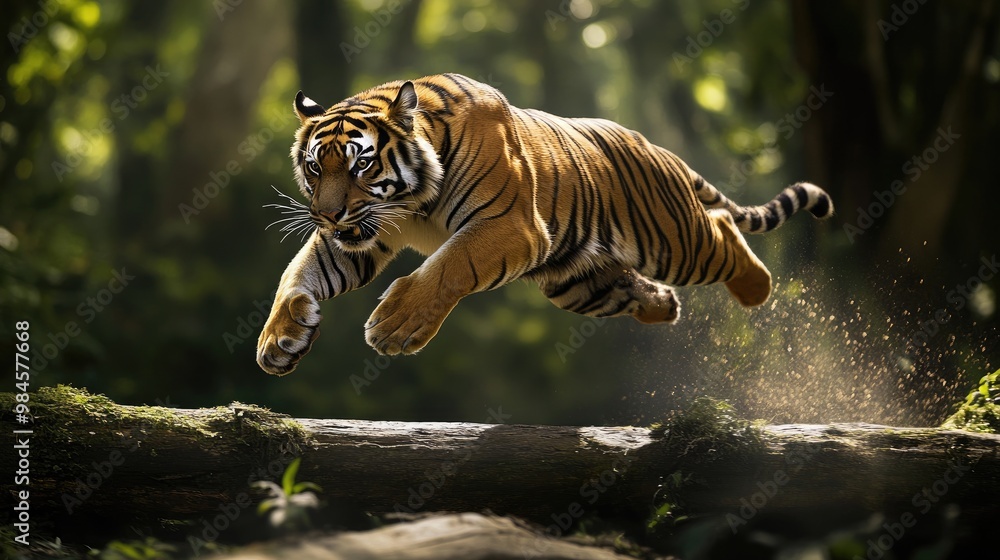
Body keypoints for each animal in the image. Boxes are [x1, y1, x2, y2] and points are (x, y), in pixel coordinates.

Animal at [256, 73, 833, 375]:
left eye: (361, 164)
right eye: (316, 166)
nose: (328, 213)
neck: (408, 203)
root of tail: (654, 146)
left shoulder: (510, 226)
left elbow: (448, 266)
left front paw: (396, 326)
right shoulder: (359, 235)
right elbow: (296, 274)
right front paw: (279, 339)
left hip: (674, 241)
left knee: (723, 229)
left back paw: (758, 289)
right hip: (576, 281)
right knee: (641, 289)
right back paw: (664, 306)